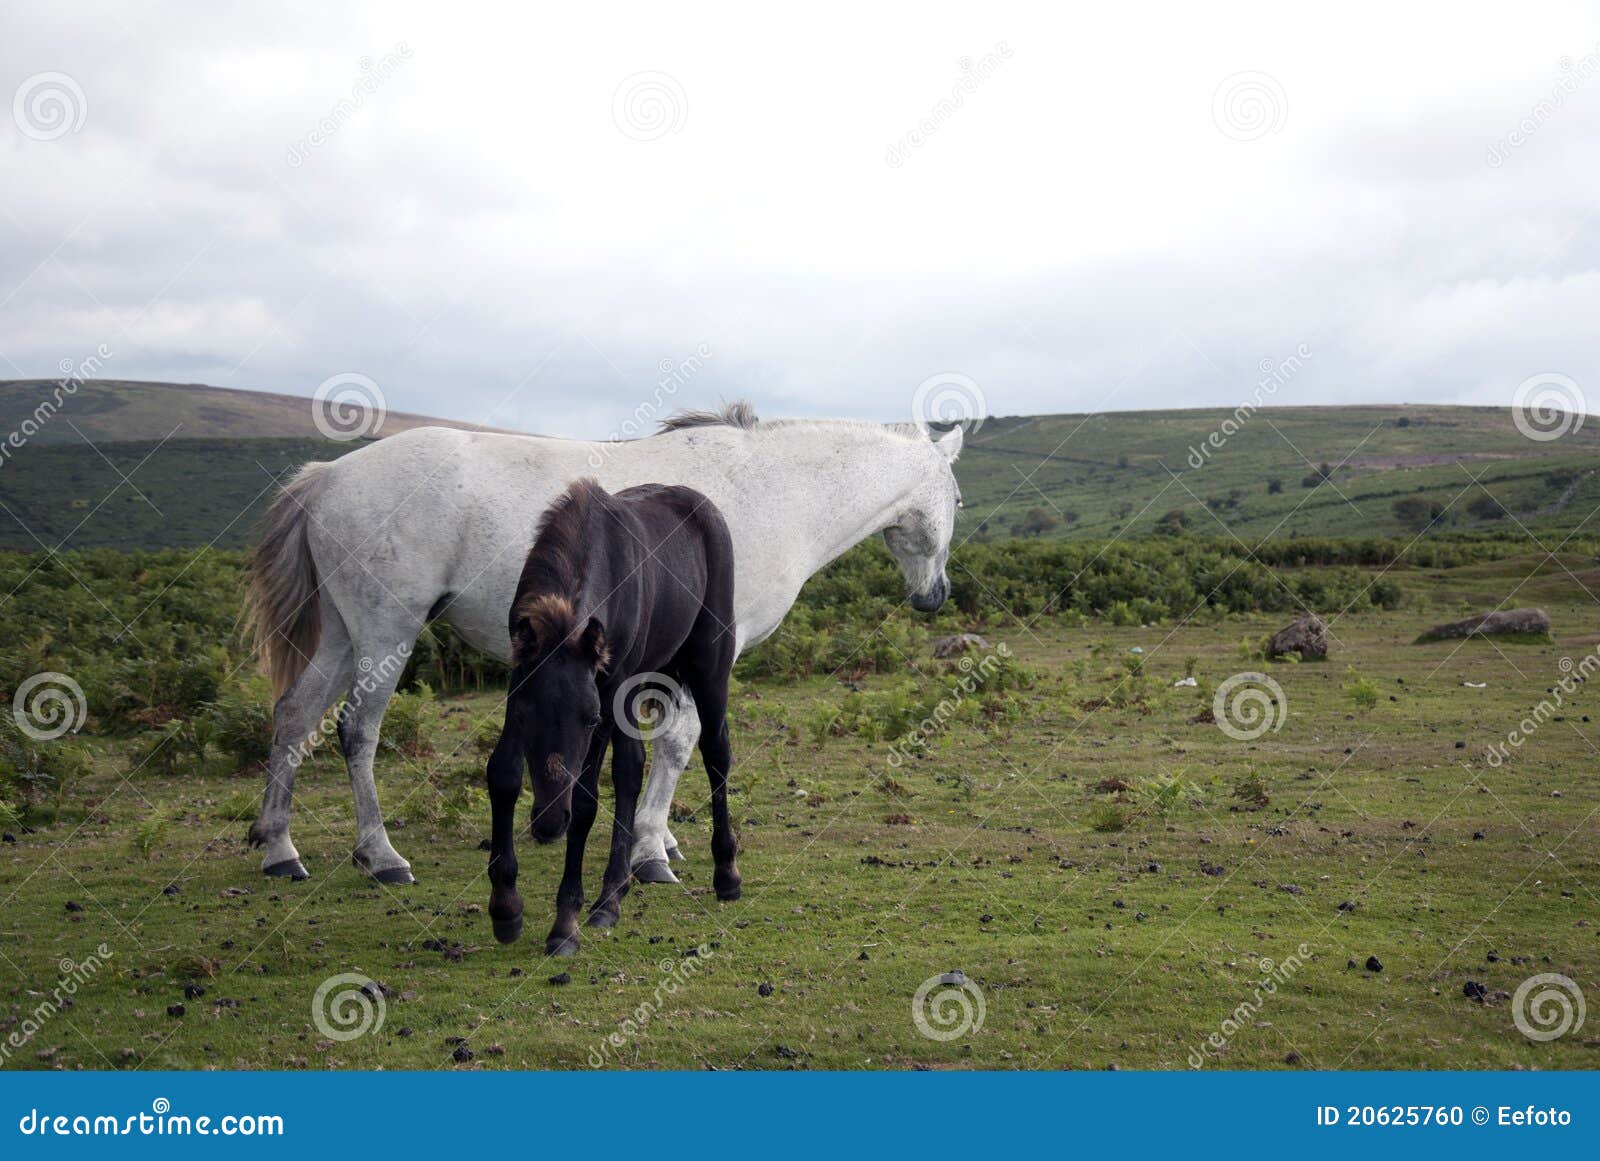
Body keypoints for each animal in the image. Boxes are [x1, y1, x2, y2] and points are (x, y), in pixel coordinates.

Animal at [244, 401, 962, 885]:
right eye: (956, 496)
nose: (936, 594)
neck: (768, 493)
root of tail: (328, 478)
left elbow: (660, 743)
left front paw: (659, 840)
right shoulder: (709, 655)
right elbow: (679, 743)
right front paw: (650, 854)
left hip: (344, 636)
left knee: (296, 716)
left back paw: (281, 849)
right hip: (386, 632)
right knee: (357, 730)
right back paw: (382, 855)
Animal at [485, 479, 738, 956]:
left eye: (588, 718)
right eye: (526, 715)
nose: (549, 824)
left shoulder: (609, 692)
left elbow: (586, 801)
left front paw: (565, 924)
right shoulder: (518, 678)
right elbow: (503, 775)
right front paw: (506, 909)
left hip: (708, 667)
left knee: (716, 752)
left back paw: (726, 875)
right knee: (630, 770)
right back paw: (614, 893)